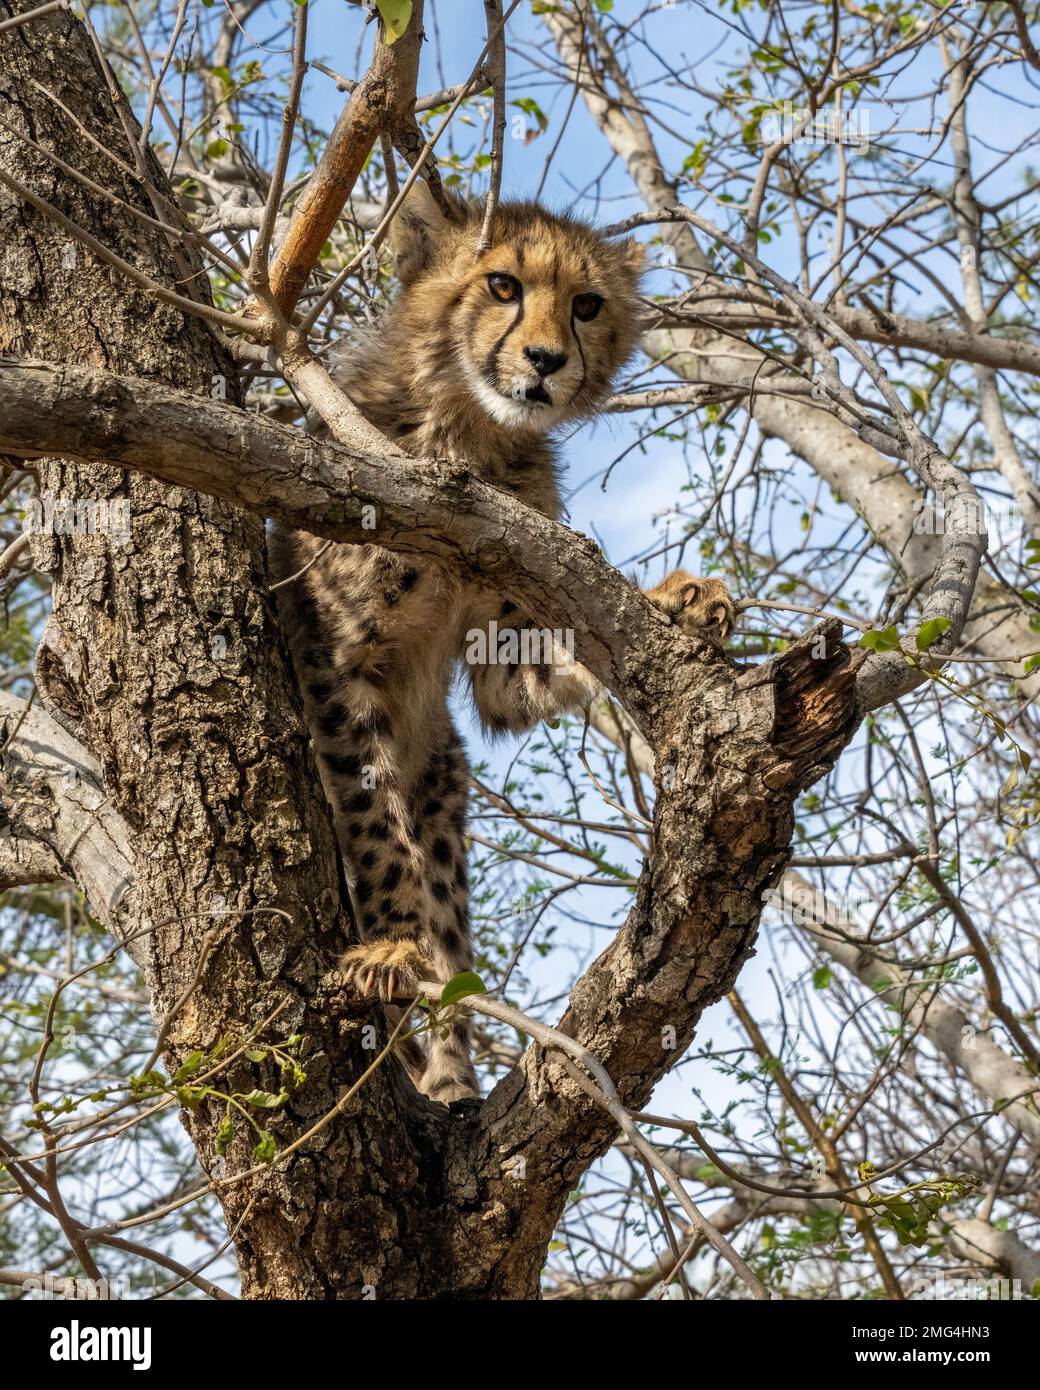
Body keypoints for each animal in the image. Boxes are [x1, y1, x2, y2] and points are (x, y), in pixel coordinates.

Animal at [271, 180, 735, 1104]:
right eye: (501, 286)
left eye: (587, 305)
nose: (548, 361)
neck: (470, 440)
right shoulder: (336, 655)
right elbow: (372, 817)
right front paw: (388, 946)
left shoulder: (500, 655)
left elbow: (553, 659)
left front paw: (679, 600)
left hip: (446, 785)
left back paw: (452, 1085)